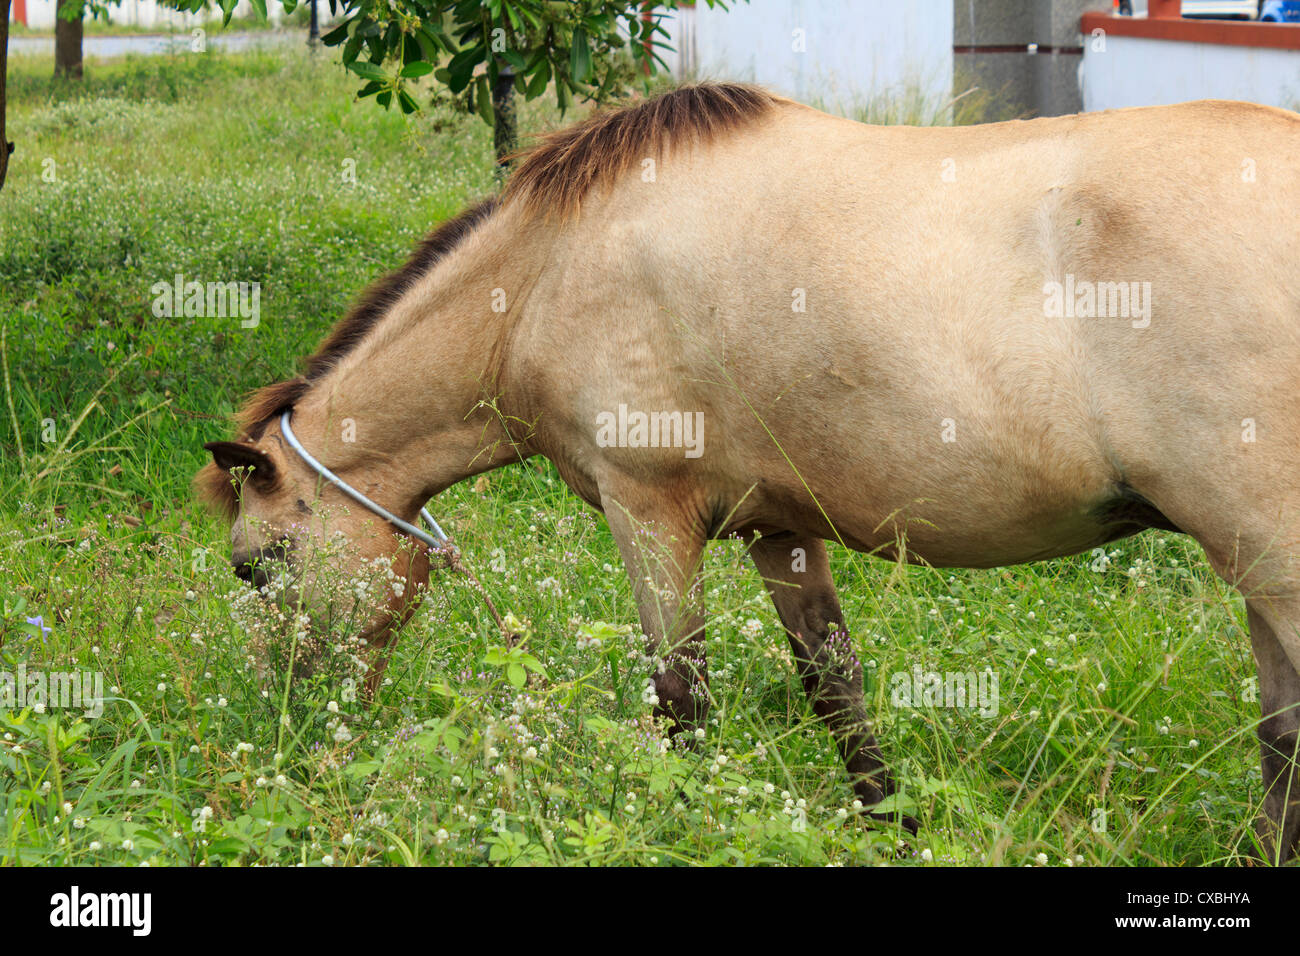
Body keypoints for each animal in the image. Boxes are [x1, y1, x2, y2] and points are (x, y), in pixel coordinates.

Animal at [197, 83, 1300, 861]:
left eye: (258, 565)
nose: (295, 724)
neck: (553, 271)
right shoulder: (781, 527)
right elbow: (834, 682)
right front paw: (890, 824)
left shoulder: (646, 511)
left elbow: (680, 695)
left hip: (1269, 554)